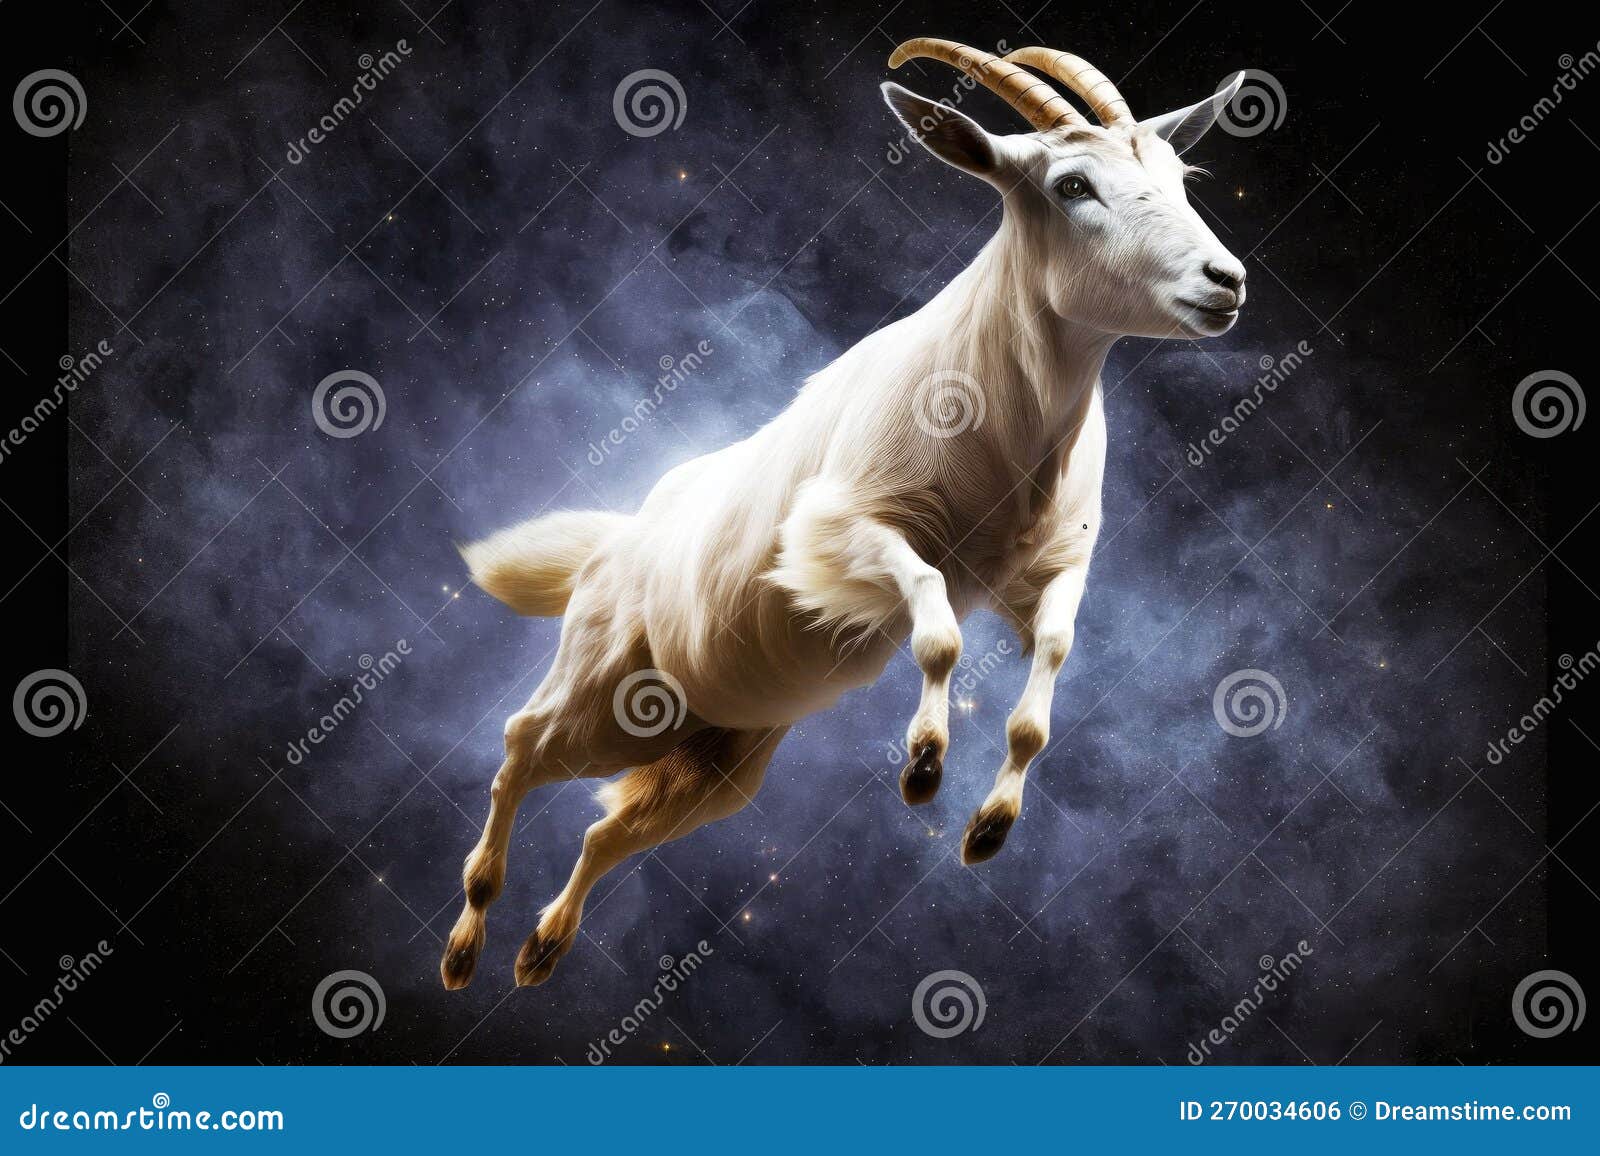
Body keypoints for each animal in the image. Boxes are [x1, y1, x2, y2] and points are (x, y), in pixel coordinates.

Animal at [441, 38, 1252, 989]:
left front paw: (987, 829)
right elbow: (936, 623)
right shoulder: (837, 533)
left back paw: (541, 949)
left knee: (611, 828)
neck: (997, 407)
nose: (1226, 281)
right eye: (1072, 184)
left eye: (1182, 174)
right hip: (605, 689)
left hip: (717, 755)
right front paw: (924, 768)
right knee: (523, 744)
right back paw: (467, 940)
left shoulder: (1051, 569)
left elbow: (1047, 664)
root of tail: (617, 542)